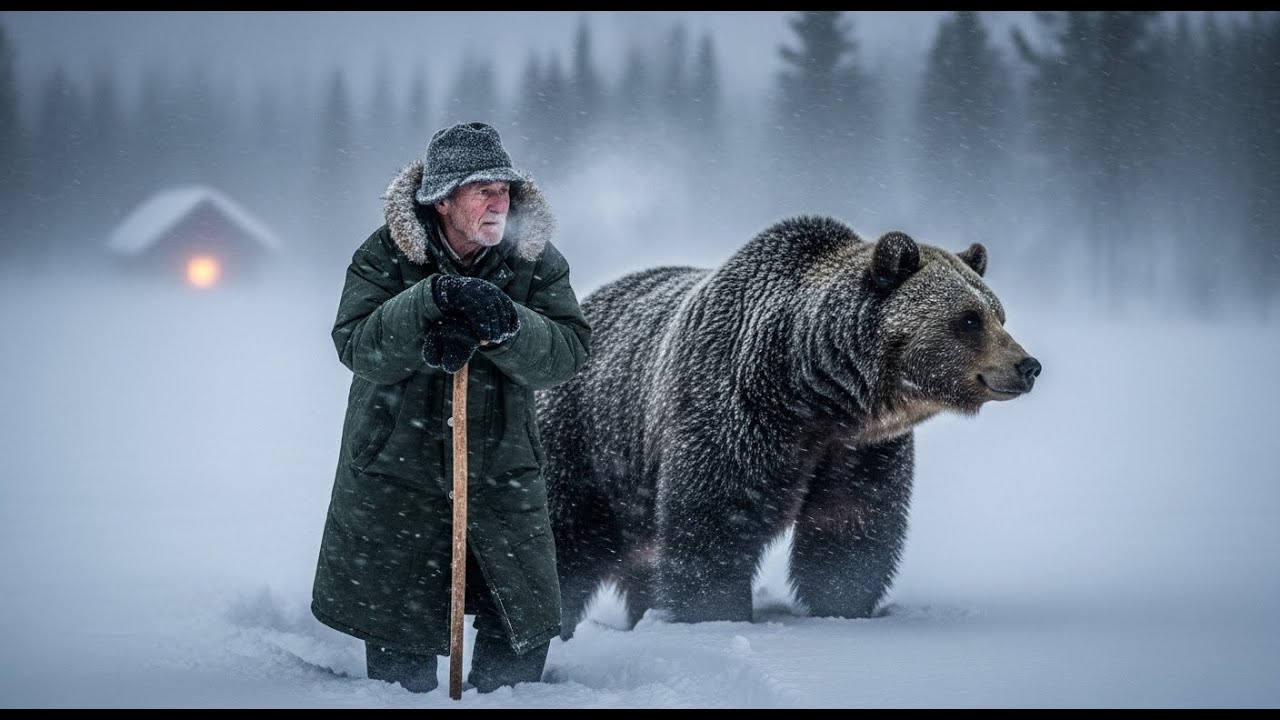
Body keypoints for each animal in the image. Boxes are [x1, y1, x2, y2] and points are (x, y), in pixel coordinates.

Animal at [535, 215, 1041, 638]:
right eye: (968, 319)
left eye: (999, 313)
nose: (1027, 365)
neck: (814, 392)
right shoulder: (734, 414)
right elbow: (715, 521)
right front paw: (714, 615)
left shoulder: (862, 449)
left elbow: (851, 526)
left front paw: (841, 604)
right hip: (590, 441)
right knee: (567, 539)